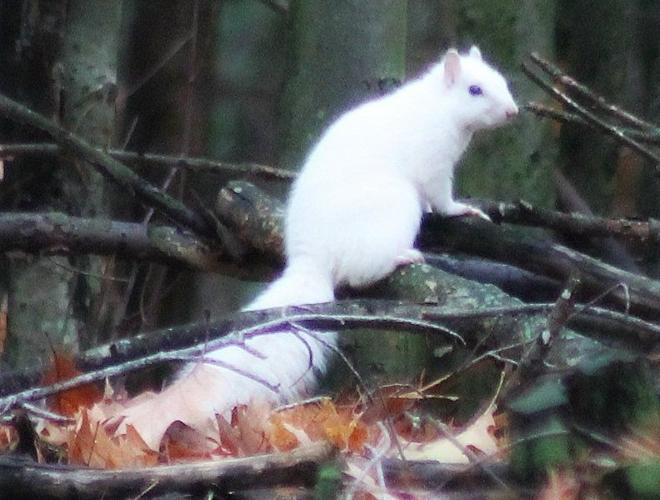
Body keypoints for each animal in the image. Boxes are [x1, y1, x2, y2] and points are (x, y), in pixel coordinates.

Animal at [116, 46, 518, 450]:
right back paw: (401, 256)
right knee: (362, 272)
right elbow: (441, 196)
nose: (513, 112)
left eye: (502, 79)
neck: (438, 108)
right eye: (475, 89)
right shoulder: (433, 163)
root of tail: (314, 262)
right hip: (393, 209)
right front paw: (461, 209)